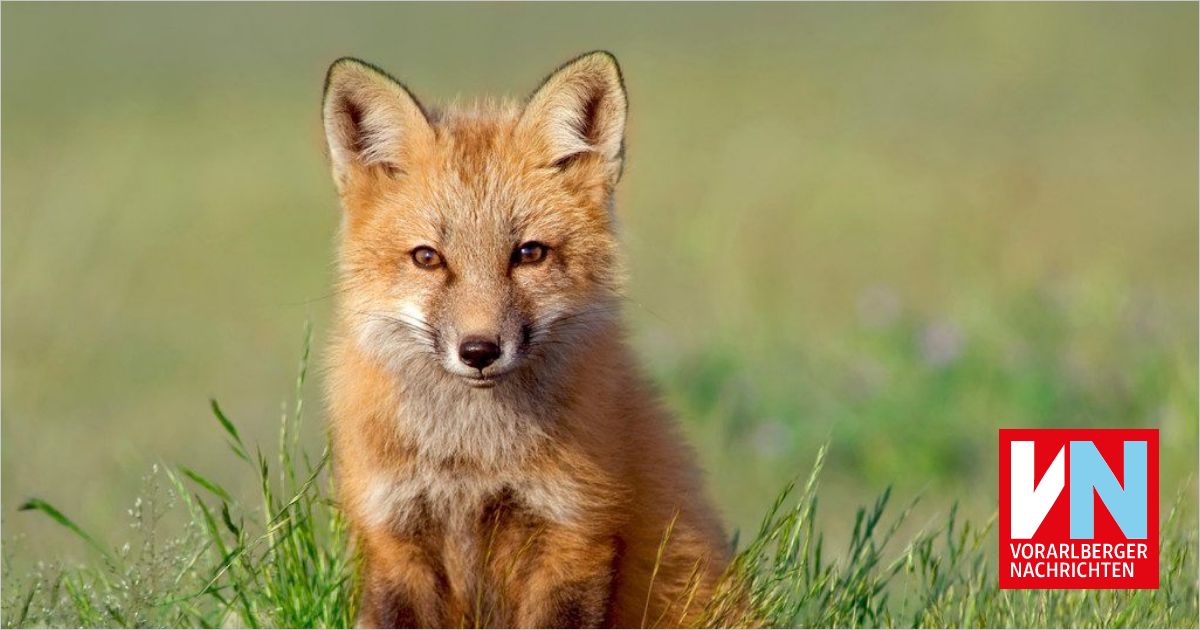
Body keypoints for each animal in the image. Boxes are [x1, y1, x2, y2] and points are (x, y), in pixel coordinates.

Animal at [320, 51, 731, 628]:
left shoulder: (575, 530)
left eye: (529, 254)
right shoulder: (393, 535)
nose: (479, 351)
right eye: (427, 258)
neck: (472, 459)